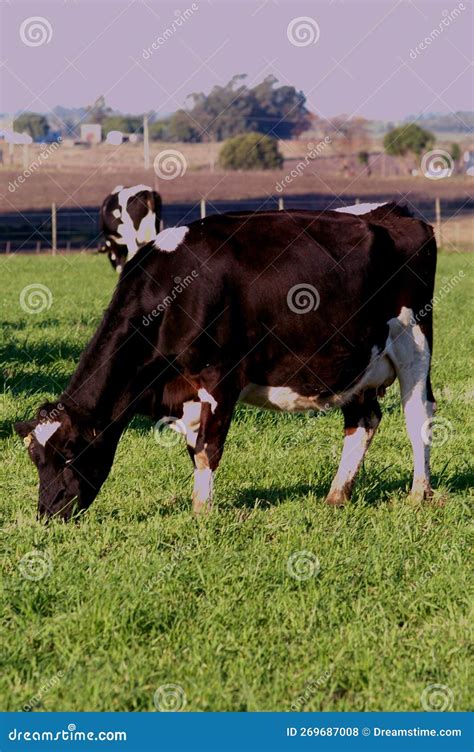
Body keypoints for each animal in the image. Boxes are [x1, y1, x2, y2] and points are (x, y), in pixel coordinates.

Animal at [15, 202, 437, 521]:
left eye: (70, 453)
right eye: (37, 459)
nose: (47, 512)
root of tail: (396, 212)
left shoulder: (220, 378)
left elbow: (207, 448)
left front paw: (201, 513)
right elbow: (194, 450)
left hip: (414, 342)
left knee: (418, 414)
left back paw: (419, 493)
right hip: (358, 360)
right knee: (363, 421)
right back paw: (337, 495)